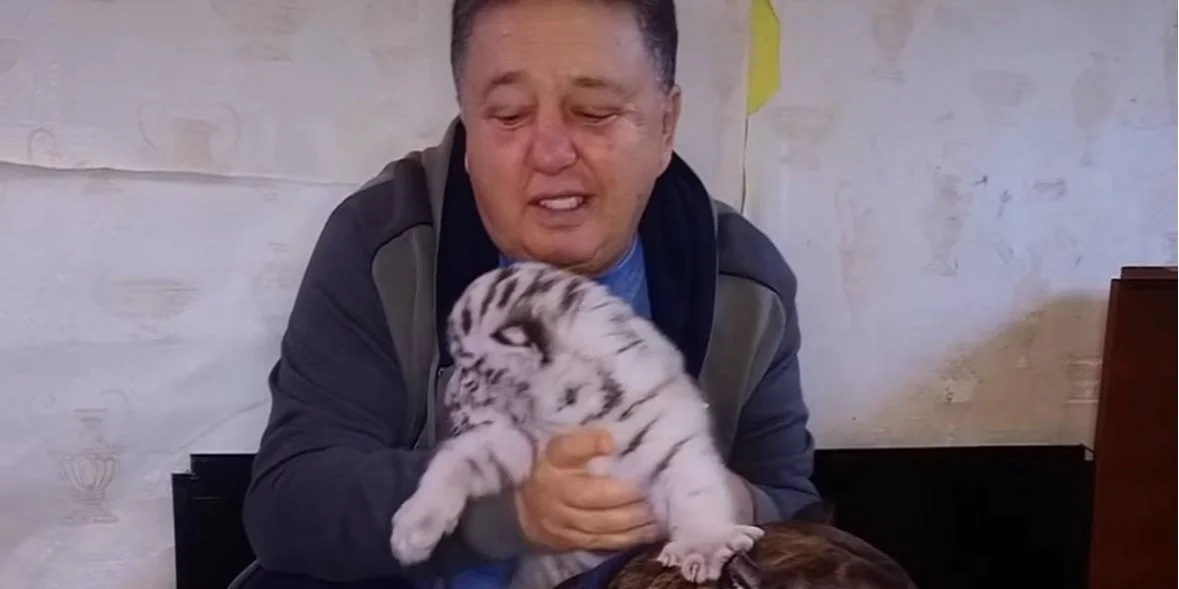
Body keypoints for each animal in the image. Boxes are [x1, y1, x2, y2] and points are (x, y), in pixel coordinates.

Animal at [389, 261, 764, 588]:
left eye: (468, 369)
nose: (448, 399)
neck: (571, 410)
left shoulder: (671, 444)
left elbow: (695, 490)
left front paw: (703, 546)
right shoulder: (520, 446)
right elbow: (456, 460)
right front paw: (413, 528)